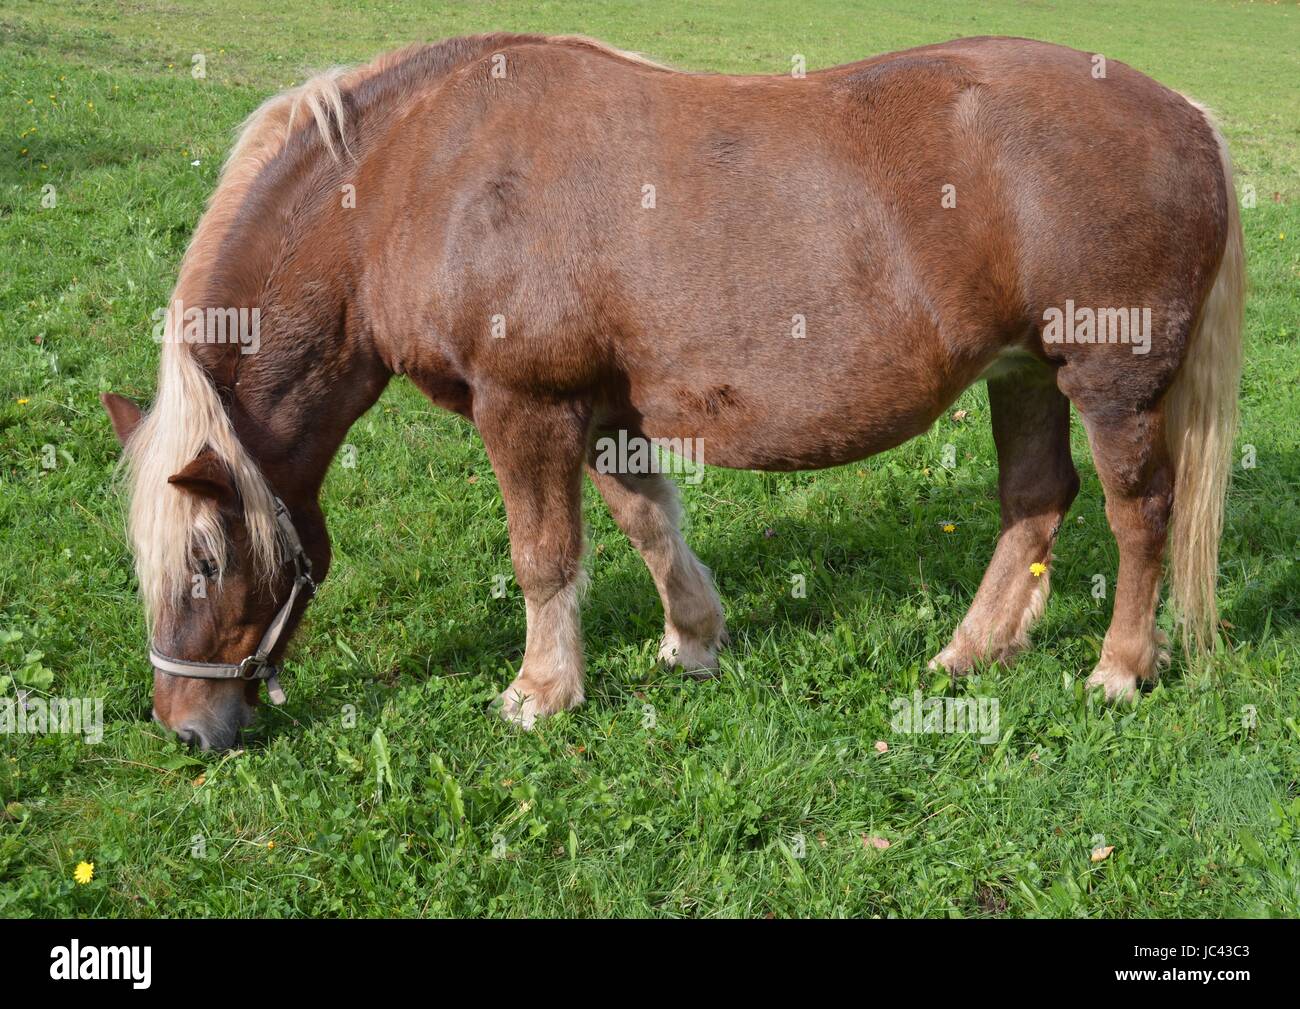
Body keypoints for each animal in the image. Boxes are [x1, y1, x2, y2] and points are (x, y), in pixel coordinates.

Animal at [101, 33, 1244, 750]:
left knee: (1139, 513)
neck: (415, 184)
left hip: (1109, 382)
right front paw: (693, 638)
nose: (186, 729)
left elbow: (545, 554)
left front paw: (541, 691)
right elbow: (648, 524)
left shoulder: (526, 406)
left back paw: (1120, 666)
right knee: (1035, 502)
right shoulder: (602, 411)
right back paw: (971, 649)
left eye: (206, 560)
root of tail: (1184, 113)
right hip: (1024, 373)